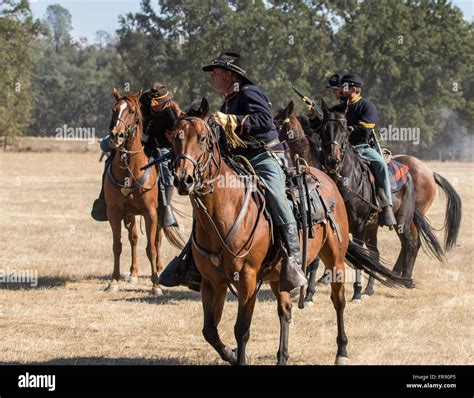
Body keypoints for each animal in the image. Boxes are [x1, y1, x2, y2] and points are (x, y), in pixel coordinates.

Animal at [104, 90, 184, 296]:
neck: (130, 171)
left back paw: (159, 270)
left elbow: (151, 248)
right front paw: (114, 281)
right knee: (133, 238)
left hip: (160, 214)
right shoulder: (114, 212)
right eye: (114, 110)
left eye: (132, 112)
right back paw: (133, 274)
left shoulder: (150, 213)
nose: (116, 135)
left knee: (157, 241)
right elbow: (117, 246)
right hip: (131, 214)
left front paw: (156, 285)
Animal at [171, 98, 412, 366]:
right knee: (285, 311)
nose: (183, 179)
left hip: (336, 258)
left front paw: (239, 356)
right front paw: (231, 355)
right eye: (174, 137)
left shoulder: (247, 278)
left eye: (203, 138)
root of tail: (327, 178)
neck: (225, 209)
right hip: (281, 274)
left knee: (338, 301)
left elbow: (241, 329)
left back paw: (342, 350)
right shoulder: (212, 282)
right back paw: (282, 356)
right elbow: (210, 330)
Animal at [276, 100, 462, 302]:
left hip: (403, 221)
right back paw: (380, 283)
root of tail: (425, 172)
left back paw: (403, 280)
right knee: (378, 252)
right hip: (376, 226)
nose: (333, 159)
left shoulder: (356, 224)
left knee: (411, 244)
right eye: (324, 129)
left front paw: (350, 291)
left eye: (345, 129)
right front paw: (311, 291)